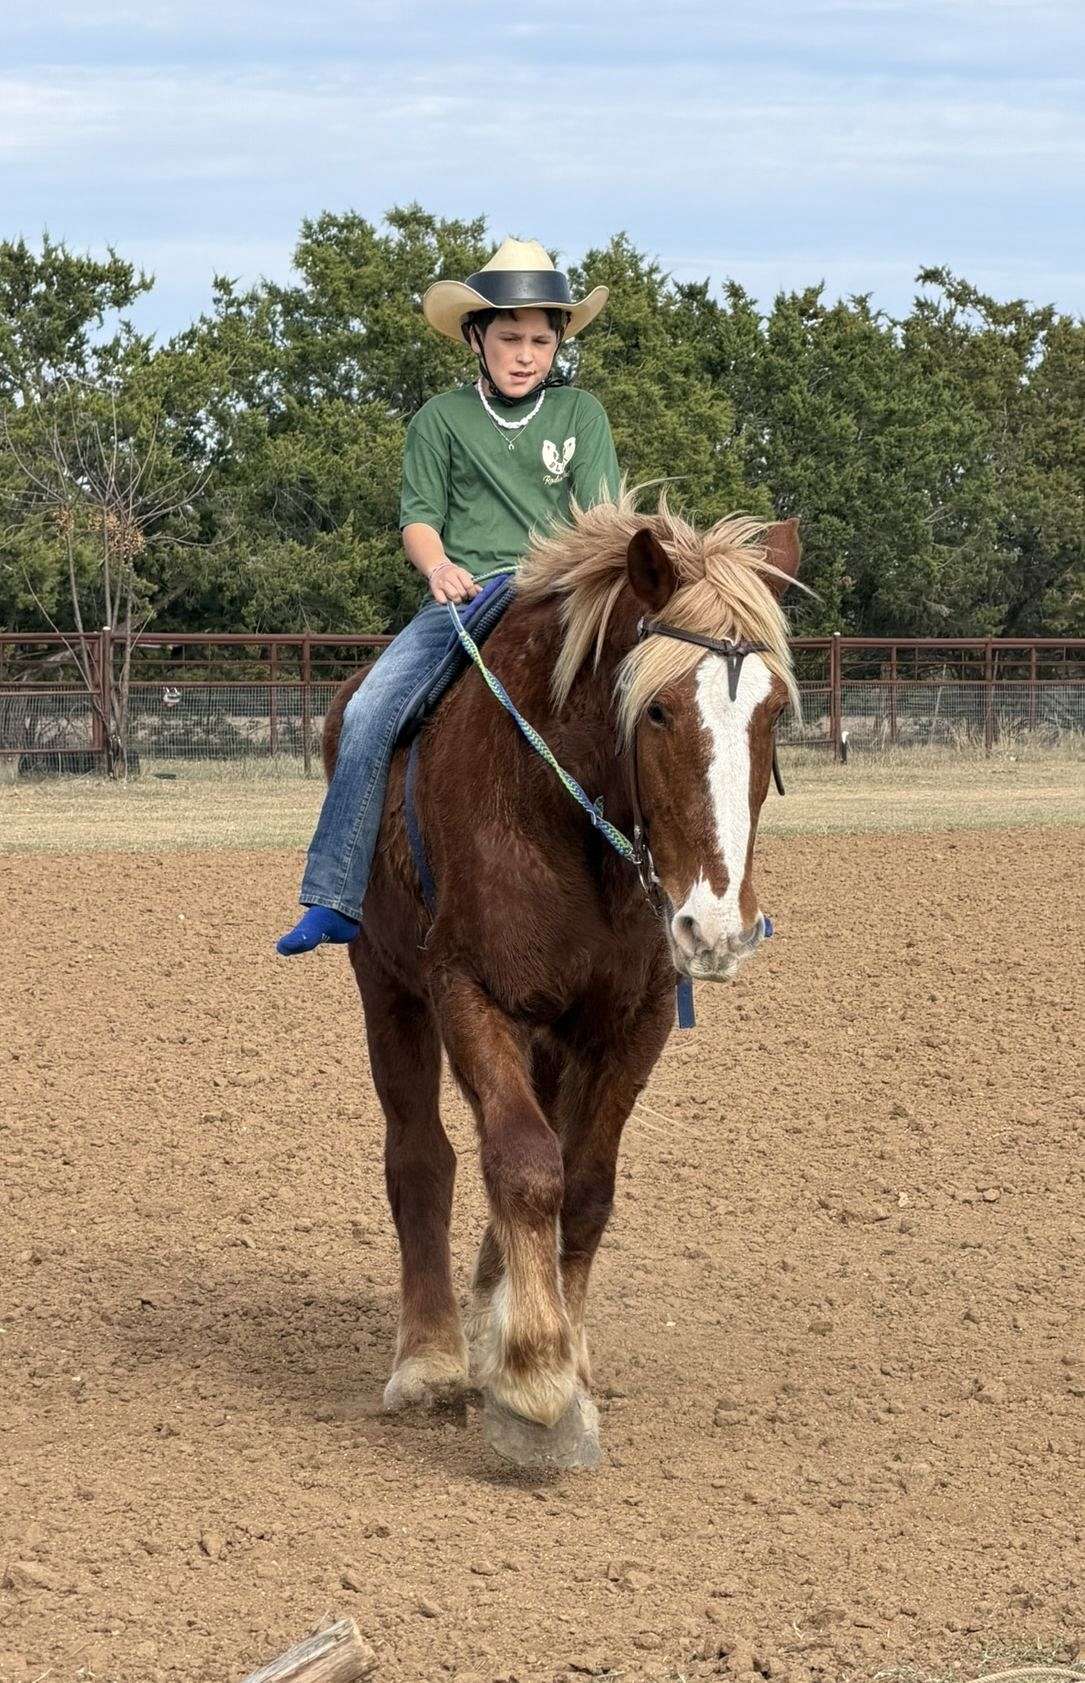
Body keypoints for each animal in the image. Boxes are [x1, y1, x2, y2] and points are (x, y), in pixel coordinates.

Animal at [323, 493, 801, 1469]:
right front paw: (535, 1385)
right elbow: (520, 1164)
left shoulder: (635, 1017)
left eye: (772, 711)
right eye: (657, 711)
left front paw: (561, 1356)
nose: (716, 926)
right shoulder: (467, 990)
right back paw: (430, 1354)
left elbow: (584, 1185)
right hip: (384, 984)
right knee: (421, 1154)